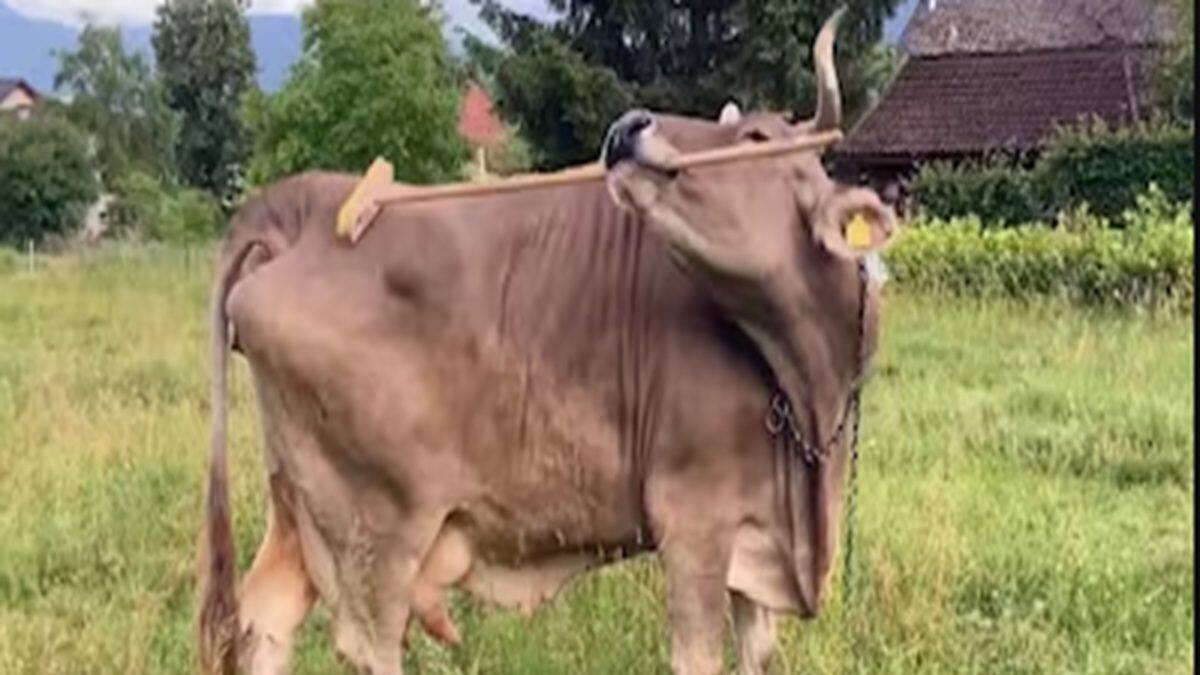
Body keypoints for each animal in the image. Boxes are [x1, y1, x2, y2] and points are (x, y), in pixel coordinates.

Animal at [198, 11, 898, 675]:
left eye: (757, 137)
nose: (626, 127)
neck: (805, 386)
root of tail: (305, 203)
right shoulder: (694, 522)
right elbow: (698, 655)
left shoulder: (756, 542)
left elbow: (759, 653)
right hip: (378, 526)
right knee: (368, 643)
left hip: (299, 503)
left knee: (263, 618)